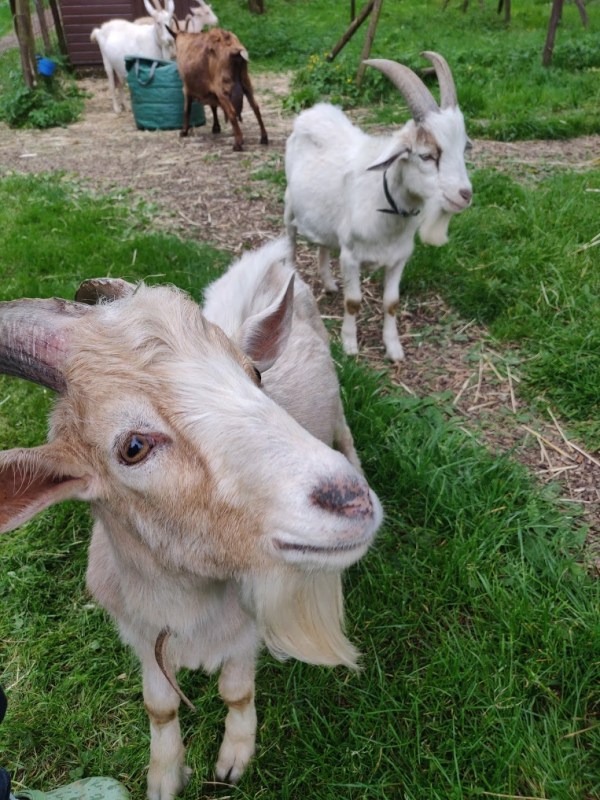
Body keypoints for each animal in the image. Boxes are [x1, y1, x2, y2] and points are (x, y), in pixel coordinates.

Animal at [0, 240, 382, 800]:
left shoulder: (244, 634)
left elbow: (236, 690)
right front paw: (165, 775)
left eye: (255, 374)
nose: (350, 501)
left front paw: (234, 759)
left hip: (334, 405)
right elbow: (159, 706)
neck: (190, 610)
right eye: (133, 447)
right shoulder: (141, 635)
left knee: (346, 429)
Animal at [284, 52, 473, 361]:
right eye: (426, 155)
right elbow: (353, 301)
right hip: (289, 205)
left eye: (464, 149)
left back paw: (329, 283)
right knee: (289, 240)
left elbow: (391, 302)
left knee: (323, 243)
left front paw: (394, 349)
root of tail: (314, 112)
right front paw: (350, 345)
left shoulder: (399, 258)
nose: (465, 194)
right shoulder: (350, 257)